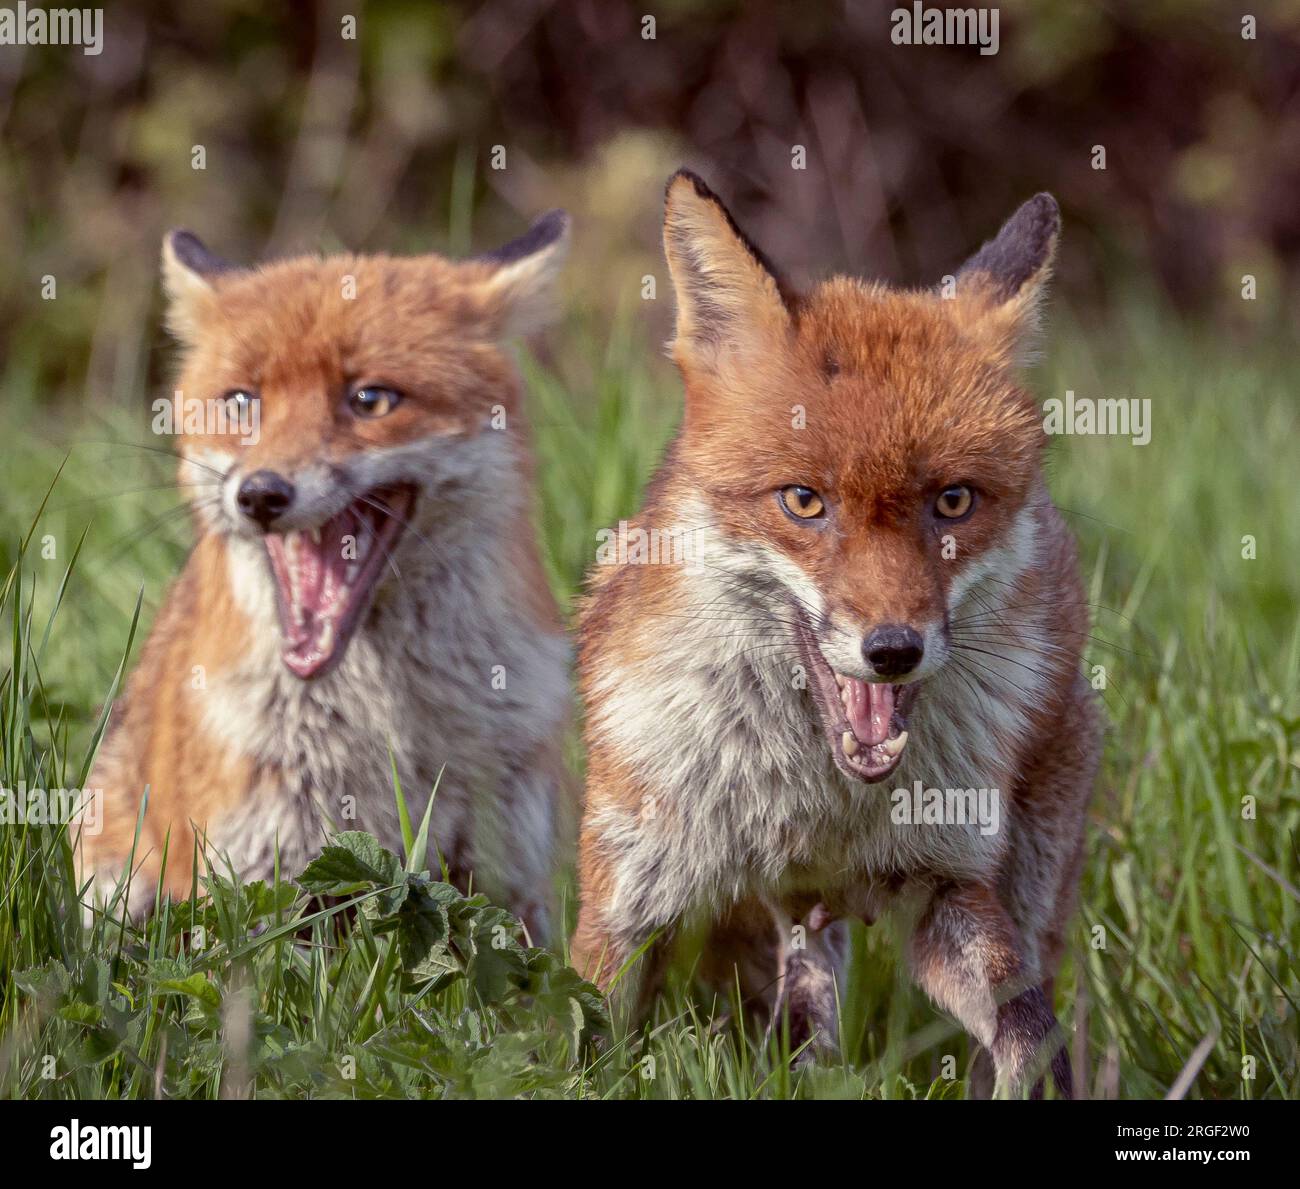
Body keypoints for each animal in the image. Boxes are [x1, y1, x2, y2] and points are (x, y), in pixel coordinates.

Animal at [75, 212, 572, 940]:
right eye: (243, 402)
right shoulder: (255, 886)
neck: (384, 727)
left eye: (370, 399)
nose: (260, 494)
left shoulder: (507, 880)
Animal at [569, 172, 1102, 1097]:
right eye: (804, 500)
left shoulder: (948, 885)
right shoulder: (627, 895)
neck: (818, 805)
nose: (893, 650)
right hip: (786, 917)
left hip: (1031, 859)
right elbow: (585, 1047)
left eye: (953, 501)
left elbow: (1027, 1027)